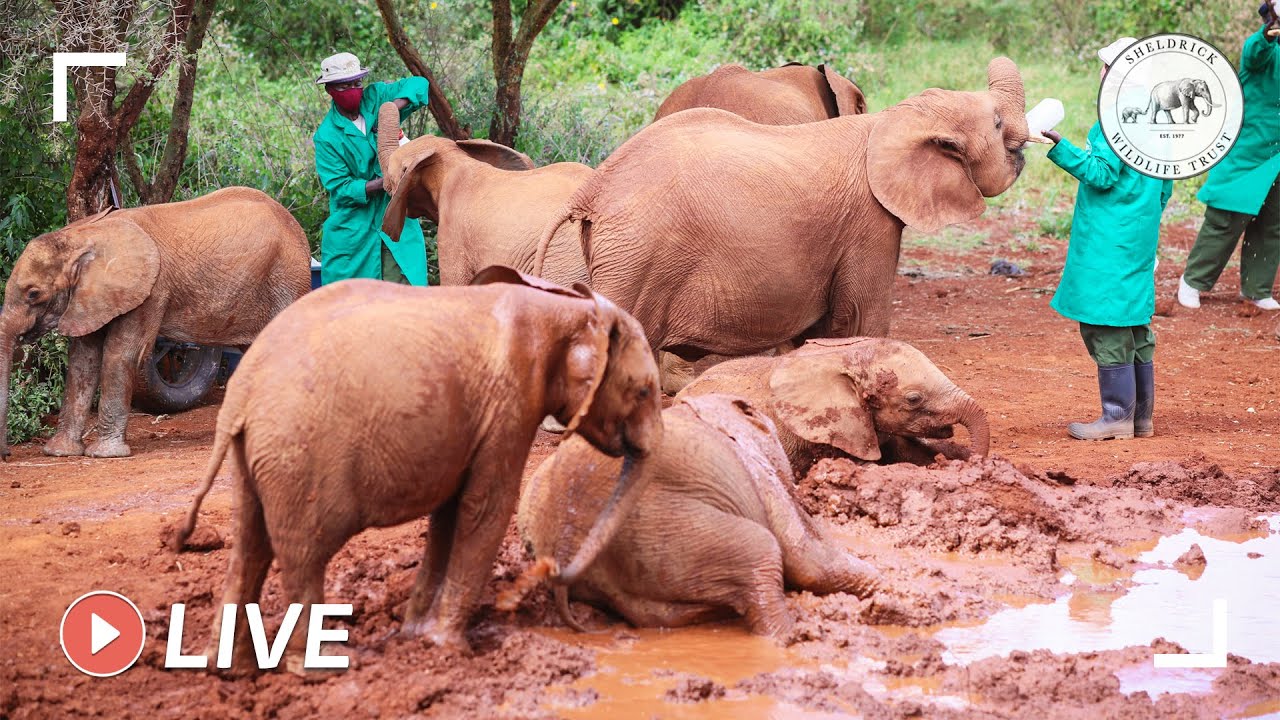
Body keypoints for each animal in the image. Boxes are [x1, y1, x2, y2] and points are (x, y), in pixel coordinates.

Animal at [0, 188, 311, 459]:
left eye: (33, 294)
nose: (7, 455)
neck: (86, 236)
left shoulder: (150, 291)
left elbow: (120, 355)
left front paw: (105, 455)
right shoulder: (90, 299)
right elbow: (83, 360)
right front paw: (60, 453)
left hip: (287, 279)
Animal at [174, 267, 663, 669]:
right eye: (643, 391)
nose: (545, 574)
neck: (570, 307)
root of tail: (241, 391)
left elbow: (450, 514)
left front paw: (416, 639)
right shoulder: (511, 401)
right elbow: (486, 508)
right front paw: (452, 651)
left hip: (255, 454)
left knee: (249, 546)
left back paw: (229, 671)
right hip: (298, 453)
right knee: (304, 552)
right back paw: (319, 670)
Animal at [518, 393, 879, 640]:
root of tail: (564, 542)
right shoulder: (759, 472)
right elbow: (807, 560)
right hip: (663, 524)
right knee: (761, 551)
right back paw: (788, 638)